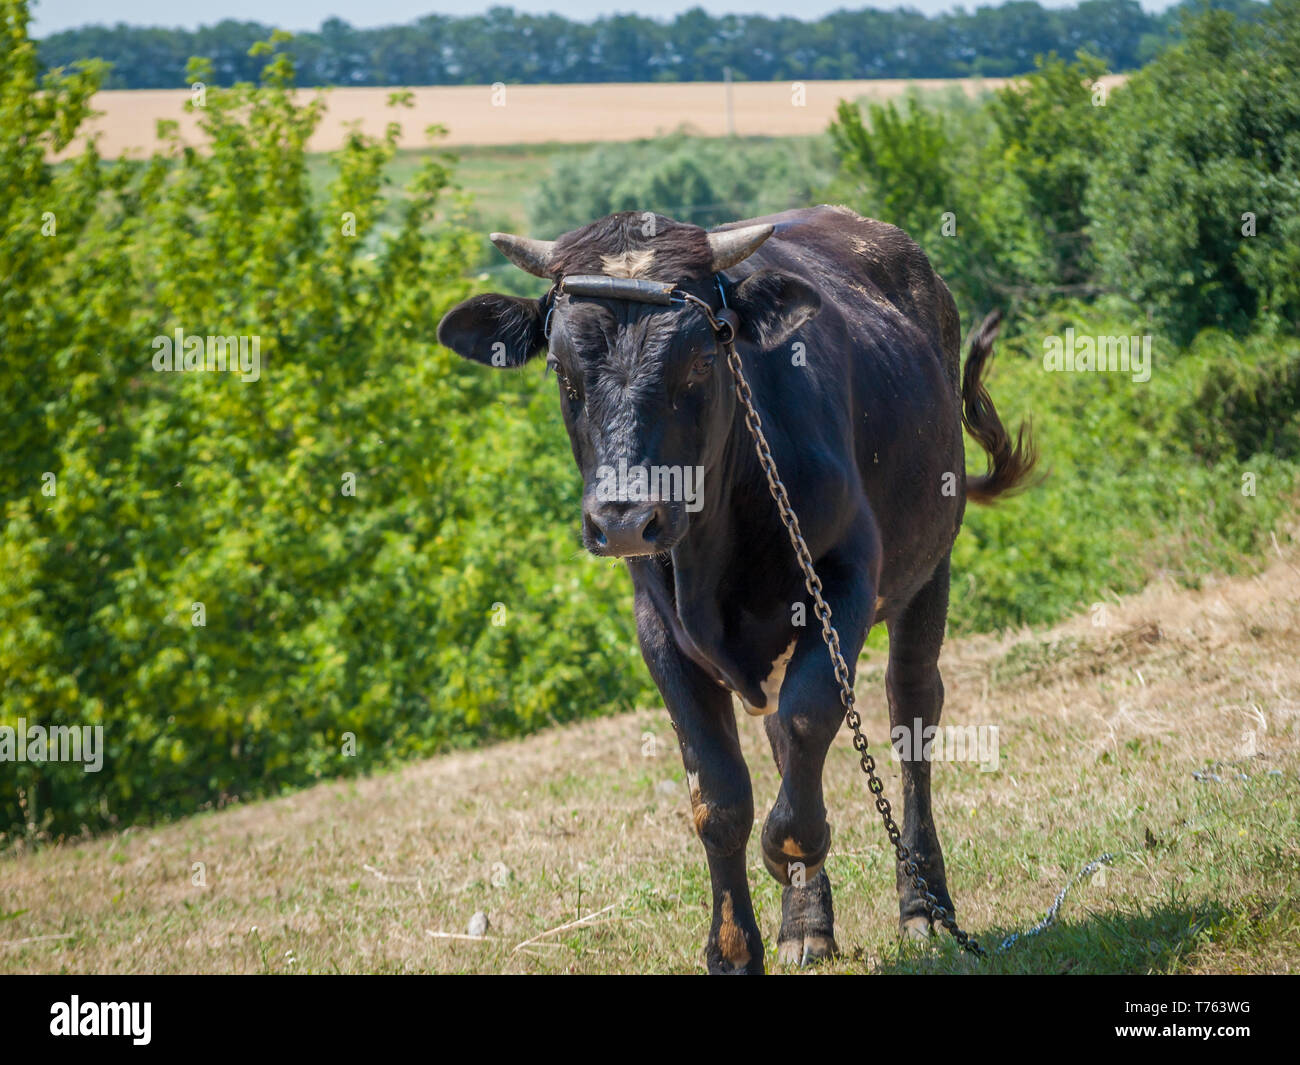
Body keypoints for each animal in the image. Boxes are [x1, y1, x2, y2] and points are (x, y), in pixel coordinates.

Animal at [437, 206, 1036, 974]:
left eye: (699, 360)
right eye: (562, 370)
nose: (624, 518)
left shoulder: (844, 575)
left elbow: (809, 718)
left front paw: (793, 847)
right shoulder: (658, 629)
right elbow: (718, 793)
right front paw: (734, 945)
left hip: (930, 570)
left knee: (910, 714)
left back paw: (924, 905)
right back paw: (806, 924)